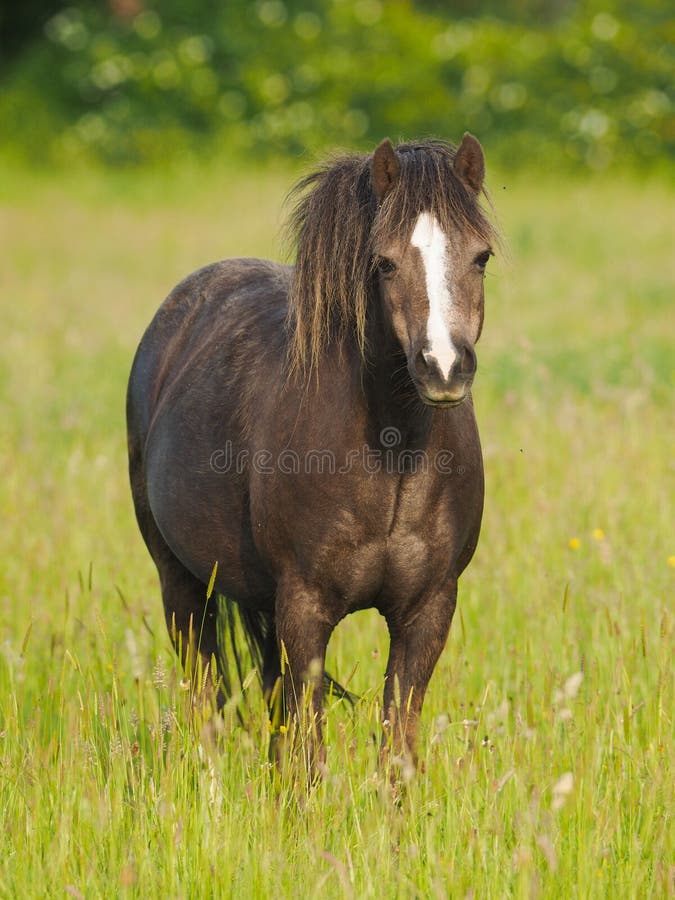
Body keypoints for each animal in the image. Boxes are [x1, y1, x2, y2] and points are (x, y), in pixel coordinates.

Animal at [126, 134, 496, 772]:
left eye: (480, 257)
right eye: (384, 262)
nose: (444, 368)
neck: (392, 457)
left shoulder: (427, 611)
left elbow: (395, 752)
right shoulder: (303, 609)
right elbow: (308, 755)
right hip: (182, 583)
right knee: (204, 696)